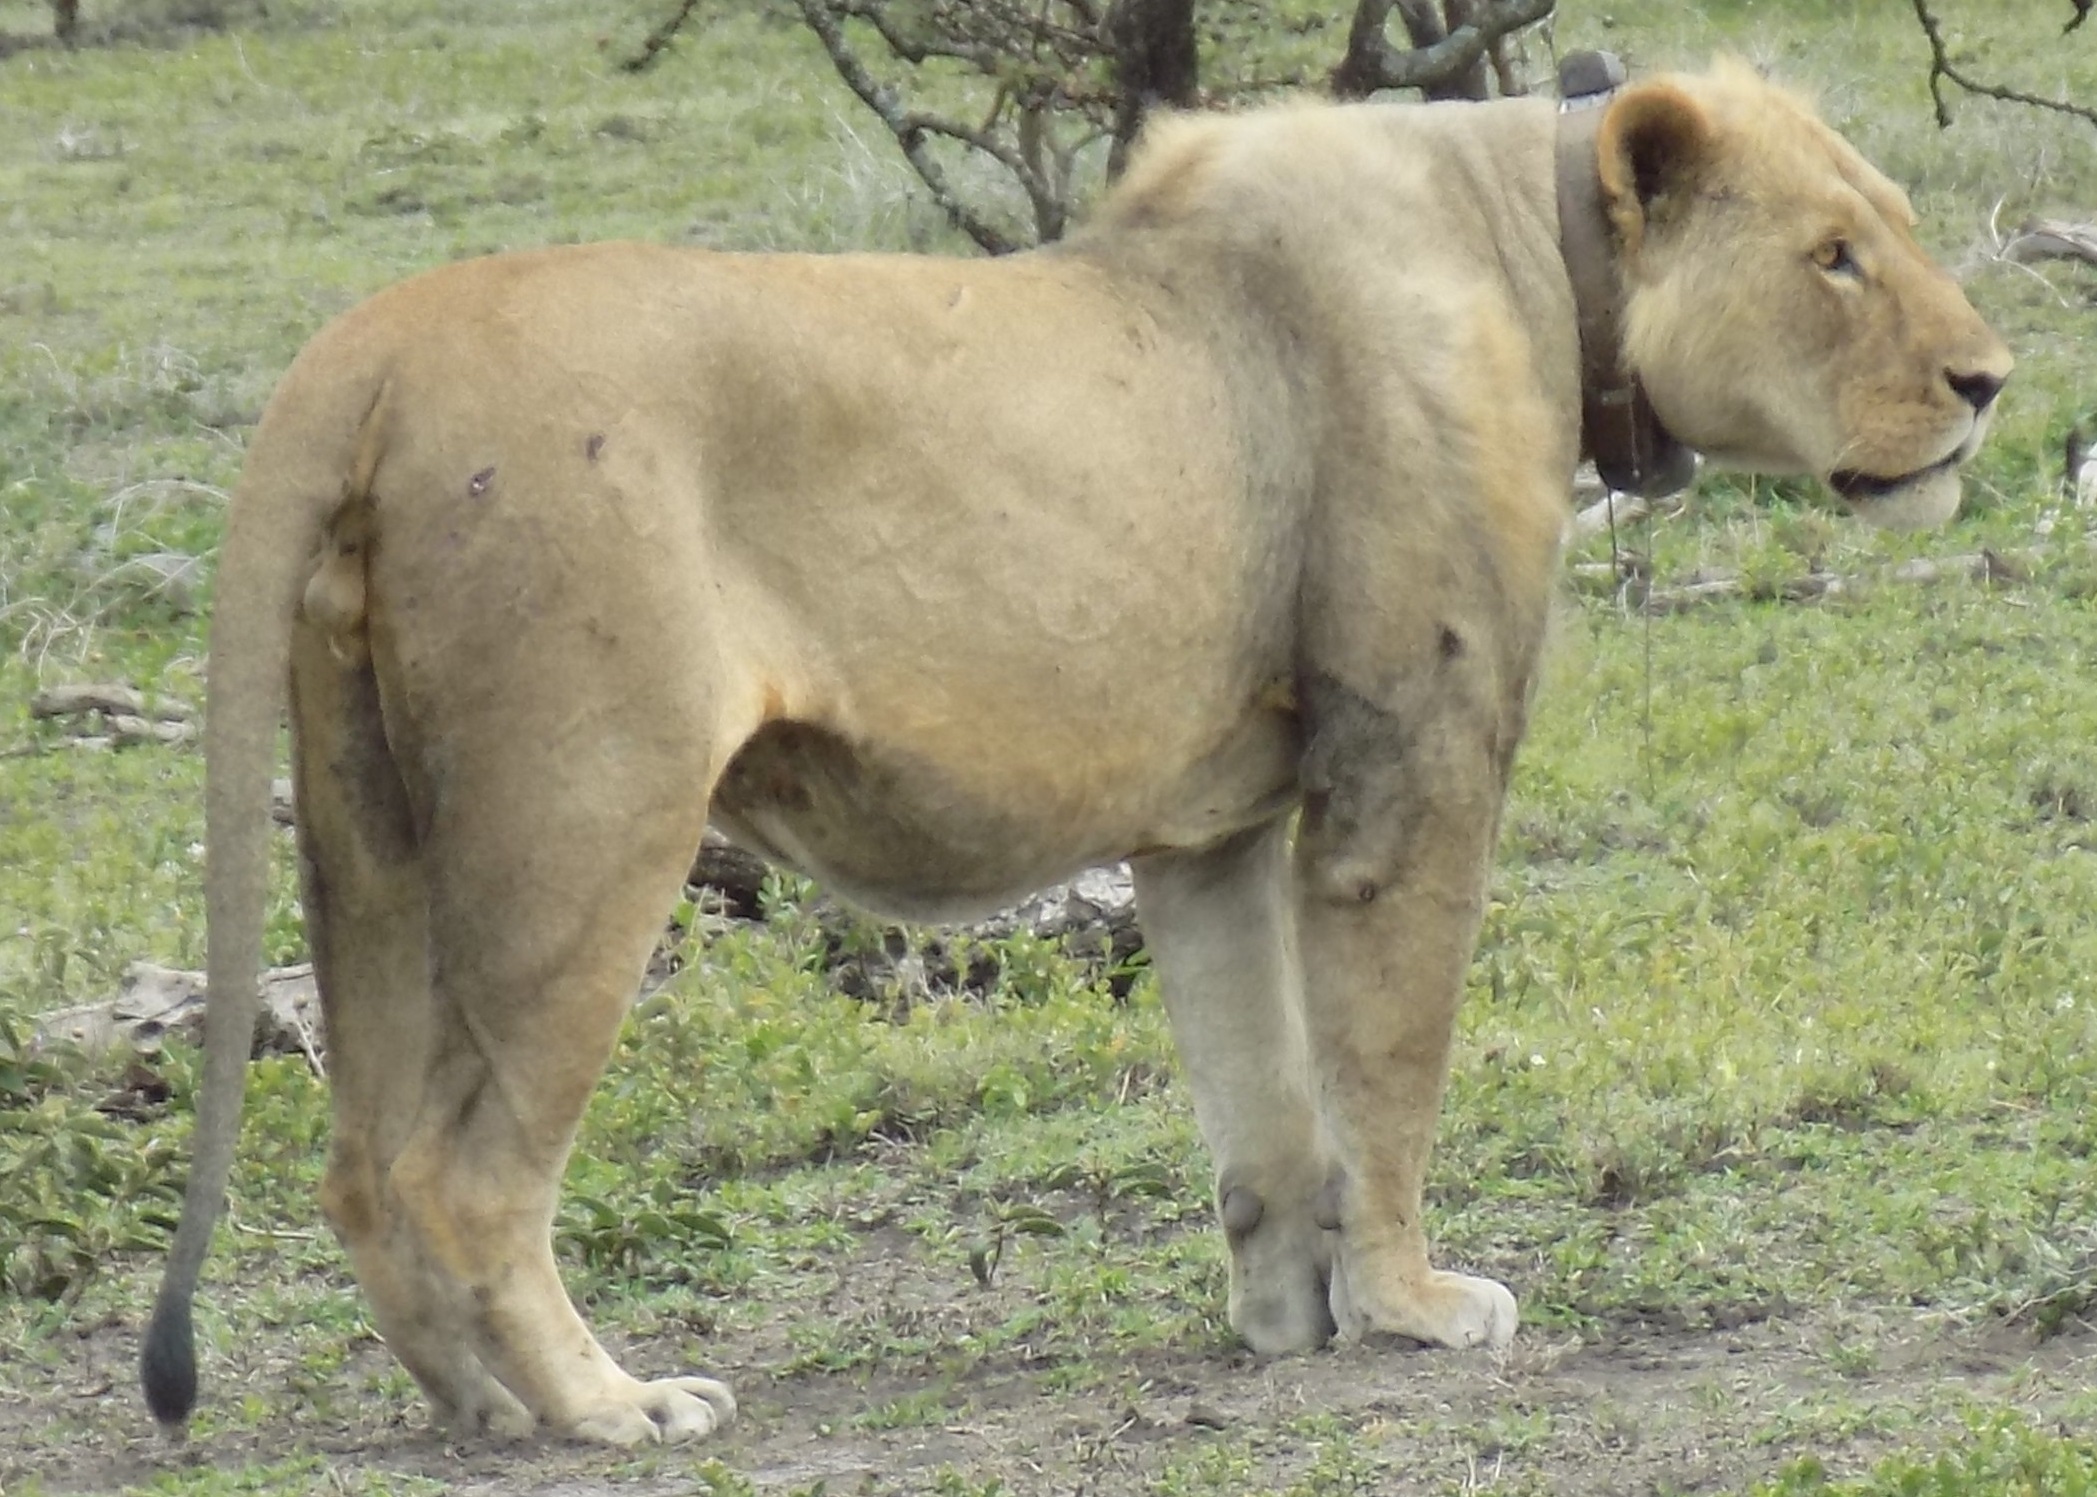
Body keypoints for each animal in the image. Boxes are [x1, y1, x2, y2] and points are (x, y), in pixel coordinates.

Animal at [141, 57, 2009, 1446]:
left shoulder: (1208, 833)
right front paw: (1415, 1307)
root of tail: (367, 344)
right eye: (1834, 255)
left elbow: (1264, 1100)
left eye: (1894, 230)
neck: (1545, 265)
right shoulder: (1409, 757)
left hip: (368, 831)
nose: (1989, 381)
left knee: (362, 1166)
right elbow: (1388, 1058)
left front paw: (1287, 1320)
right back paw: (609, 1406)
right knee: (463, 1174)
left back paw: (478, 1409)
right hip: (586, 819)